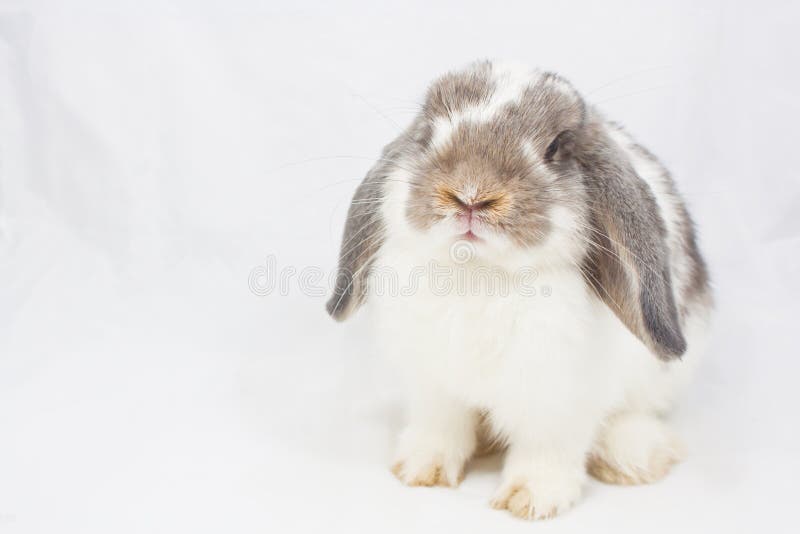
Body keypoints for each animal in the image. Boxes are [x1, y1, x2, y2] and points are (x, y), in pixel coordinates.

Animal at [326, 60, 712, 520]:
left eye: (555, 147)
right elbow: (440, 427)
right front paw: (421, 470)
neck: (478, 272)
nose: (470, 194)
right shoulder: (434, 387)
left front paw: (529, 499)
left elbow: (546, 451)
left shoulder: (556, 400)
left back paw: (632, 458)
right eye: (429, 132)